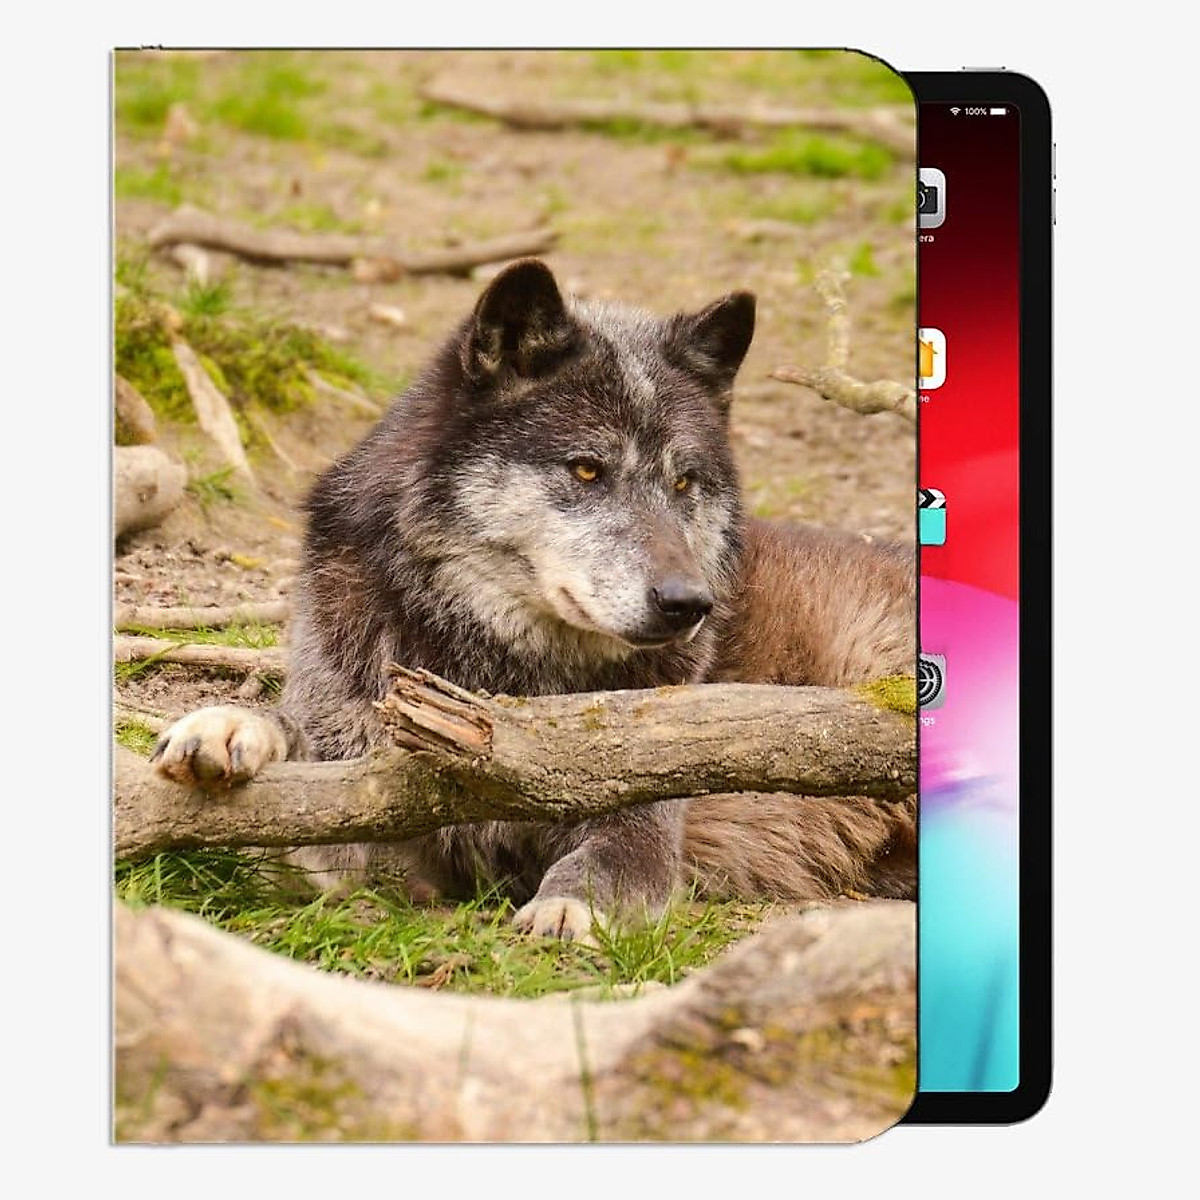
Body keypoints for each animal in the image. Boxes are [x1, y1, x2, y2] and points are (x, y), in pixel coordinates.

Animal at [151, 260, 915, 941]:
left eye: (685, 483)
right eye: (587, 470)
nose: (688, 603)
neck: (501, 672)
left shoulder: (645, 816)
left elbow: (612, 856)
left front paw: (571, 908)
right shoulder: (372, 790)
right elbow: (299, 749)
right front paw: (231, 726)